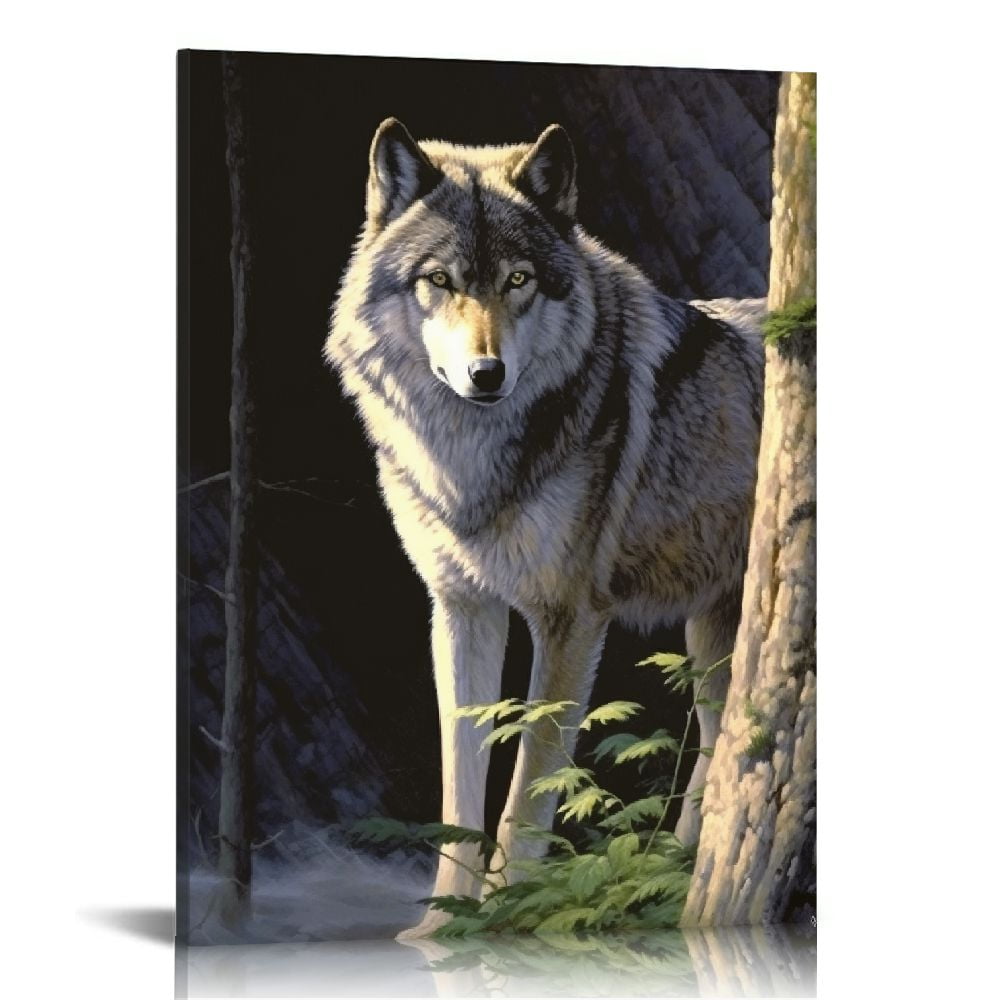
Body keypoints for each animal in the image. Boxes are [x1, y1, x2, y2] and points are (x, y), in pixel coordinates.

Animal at [325, 118, 764, 937]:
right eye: (441, 281)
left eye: (519, 280)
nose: (486, 374)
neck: (469, 461)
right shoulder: (462, 610)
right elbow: (462, 781)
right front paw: (441, 930)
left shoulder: (569, 622)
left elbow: (528, 786)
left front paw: (507, 922)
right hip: (710, 637)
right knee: (721, 753)